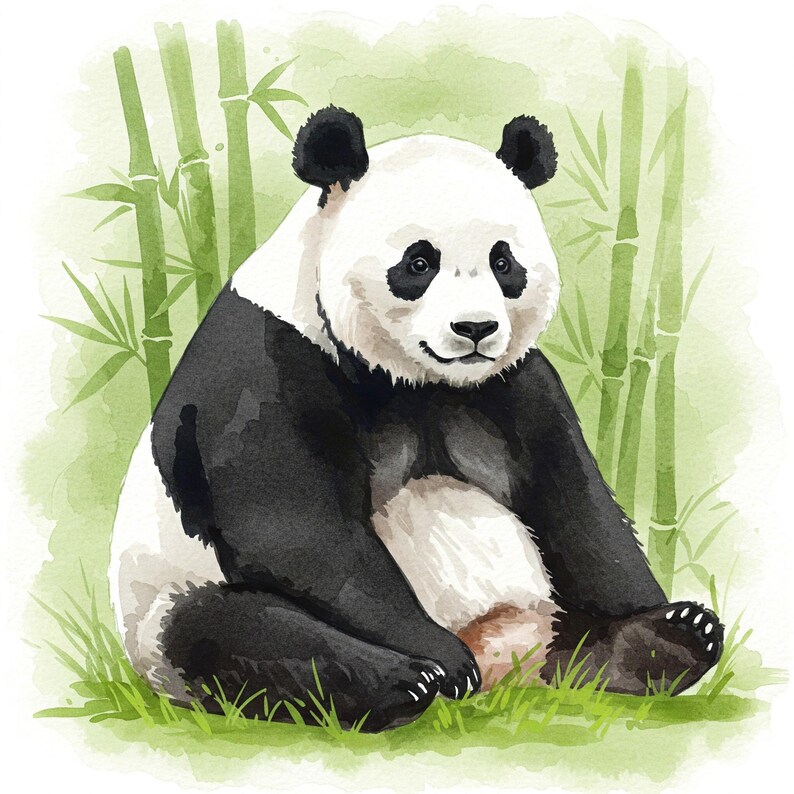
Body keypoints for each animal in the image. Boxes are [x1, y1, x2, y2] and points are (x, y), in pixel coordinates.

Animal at [109, 106, 724, 732]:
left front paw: (664, 620)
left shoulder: (510, 384)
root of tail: (505, 656)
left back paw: (660, 643)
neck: (415, 380)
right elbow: (294, 530)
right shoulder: (262, 366)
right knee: (240, 636)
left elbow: (576, 505)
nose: (475, 328)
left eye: (504, 262)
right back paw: (409, 681)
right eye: (419, 262)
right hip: (164, 609)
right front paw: (438, 661)